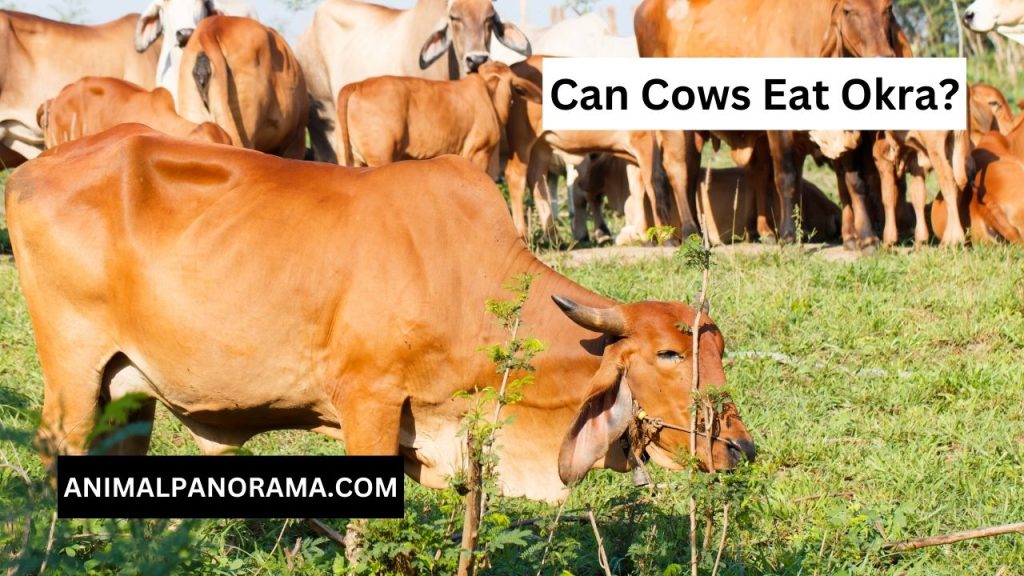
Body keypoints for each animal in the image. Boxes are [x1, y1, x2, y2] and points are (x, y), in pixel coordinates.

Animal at [7, 124, 755, 503]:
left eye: (720, 353)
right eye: (668, 353)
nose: (741, 448)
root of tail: (30, 170)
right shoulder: (365, 403)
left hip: (128, 389)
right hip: (74, 374)